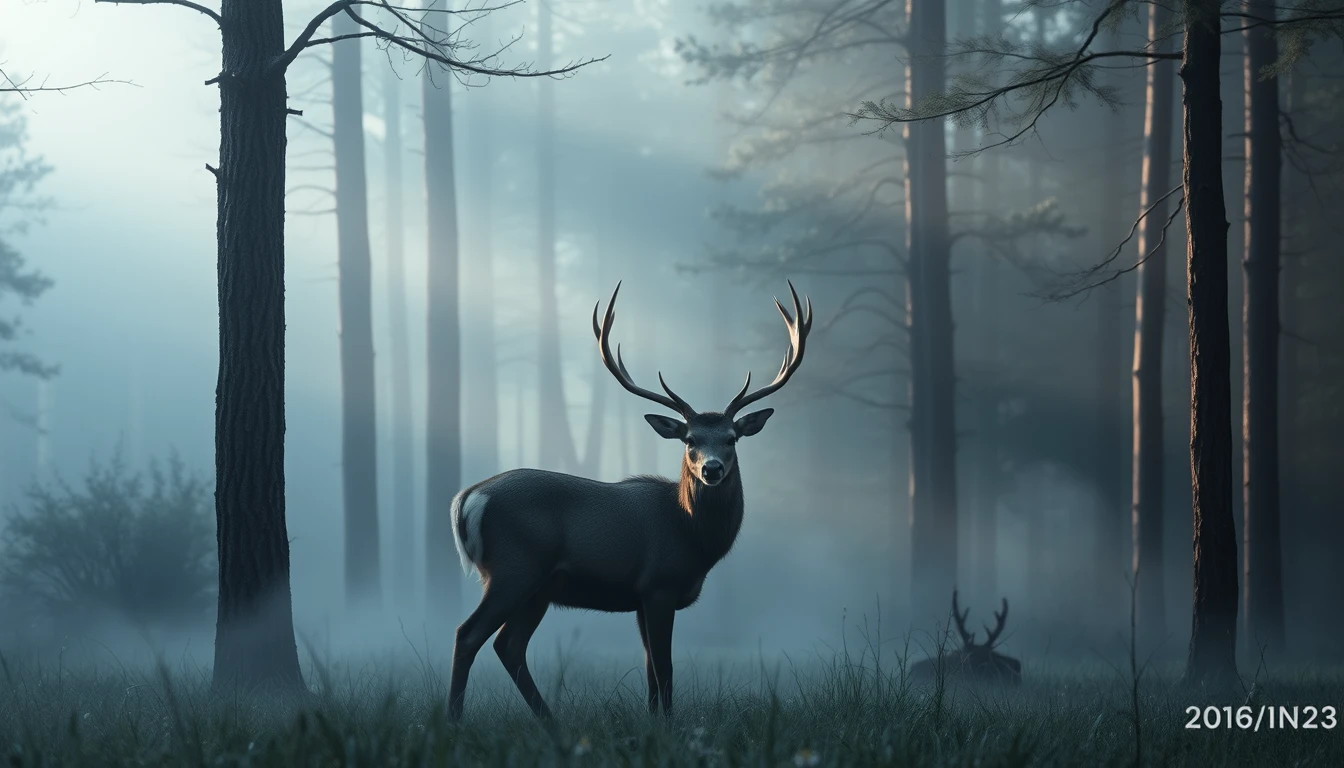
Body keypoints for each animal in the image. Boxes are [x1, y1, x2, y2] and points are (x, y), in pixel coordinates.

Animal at [445, 281, 812, 721]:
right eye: (690, 440)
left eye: (731, 439)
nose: (712, 469)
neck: (692, 538)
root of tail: (469, 498)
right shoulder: (659, 583)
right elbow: (665, 667)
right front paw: (667, 725)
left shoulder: (639, 598)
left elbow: (651, 669)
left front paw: (654, 721)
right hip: (514, 567)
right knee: (469, 634)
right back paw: (455, 720)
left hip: (540, 586)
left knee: (509, 645)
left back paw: (551, 722)